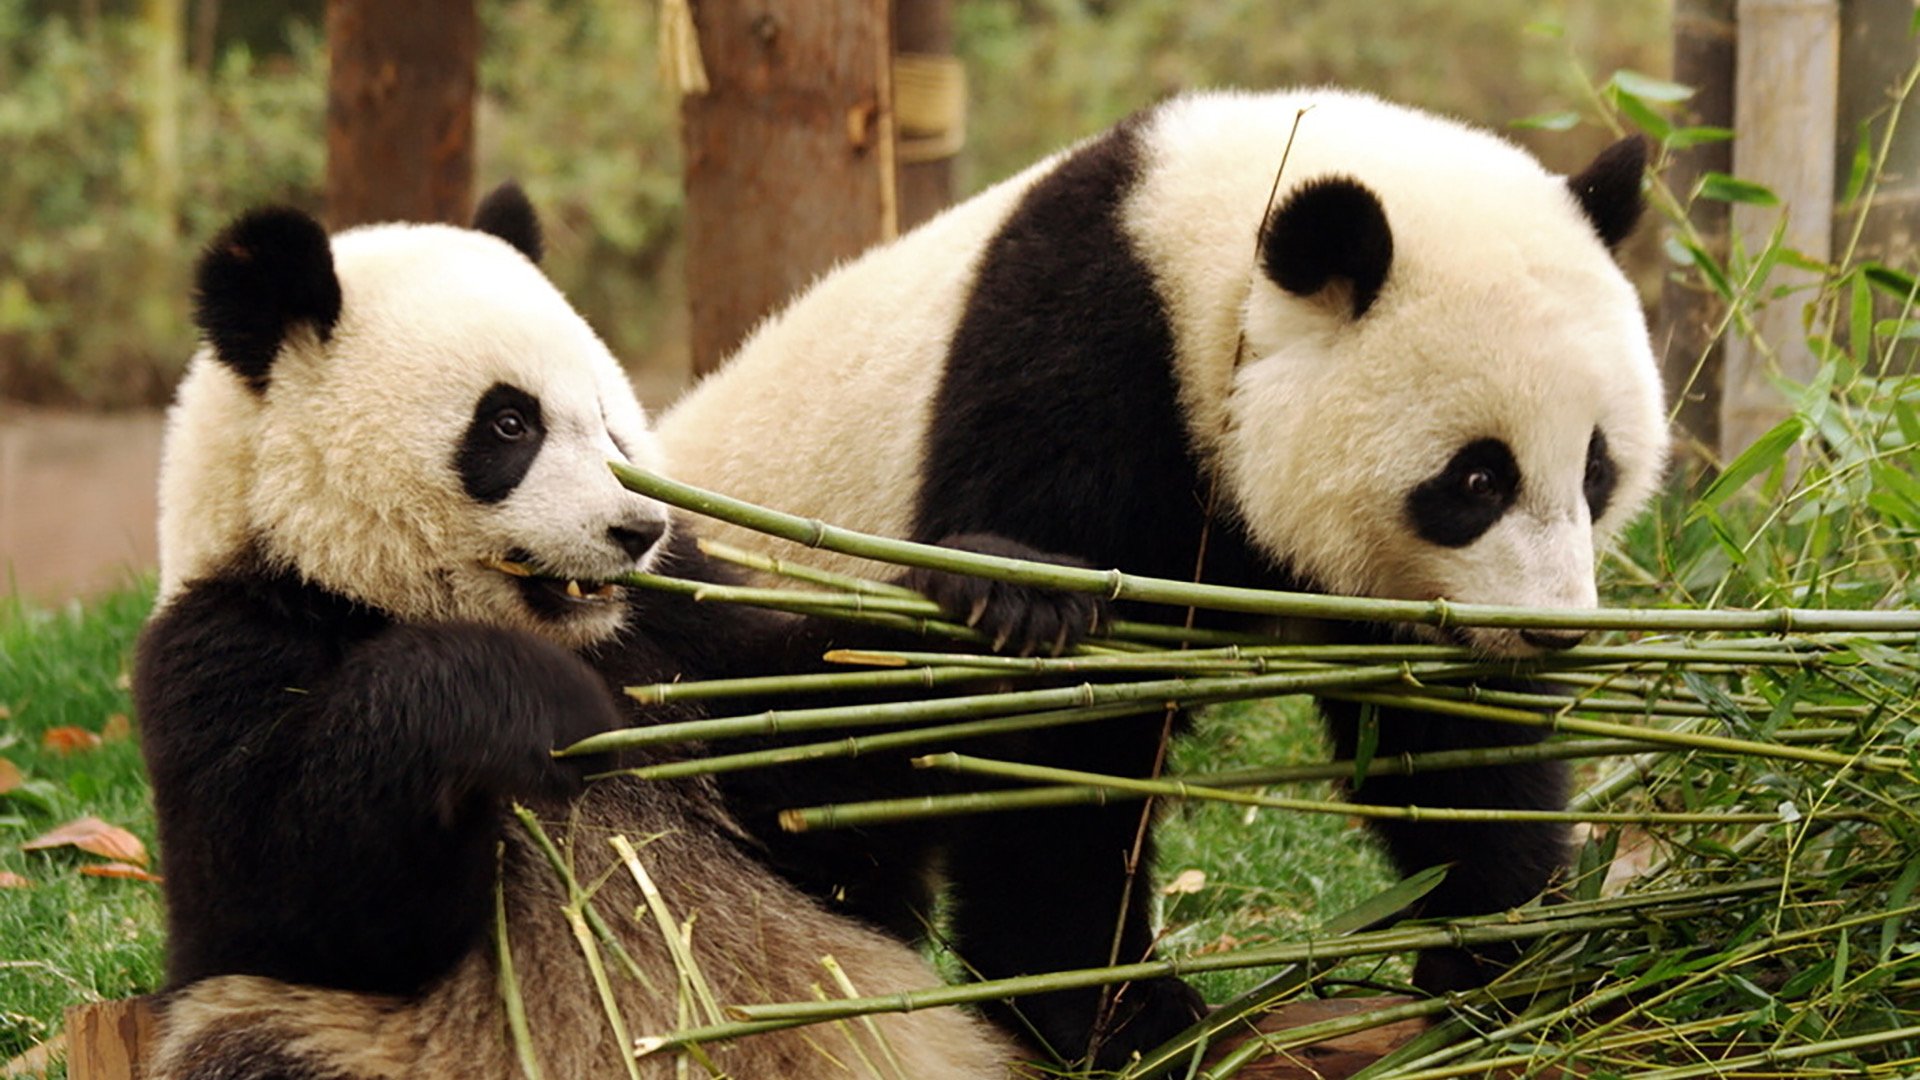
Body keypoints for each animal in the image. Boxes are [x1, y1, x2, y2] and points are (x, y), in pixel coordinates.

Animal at [131, 186, 1076, 1079]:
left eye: (609, 419)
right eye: (510, 423)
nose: (637, 530)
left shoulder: (672, 636)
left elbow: (822, 798)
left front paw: (1001, 600)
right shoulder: (232, 642)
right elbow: (288, 898)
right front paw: (526, 702)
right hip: (345, 1041)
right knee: (260, 1045)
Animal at [658, 88, 1670, 1066]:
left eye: (1595, 468)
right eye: (1476, 480)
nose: (1551, 631)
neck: (1190, 263)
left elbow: (1450, 743)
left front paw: (1508, 959)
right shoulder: (1079, 373)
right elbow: (1056, 747)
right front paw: (1118, 1018)